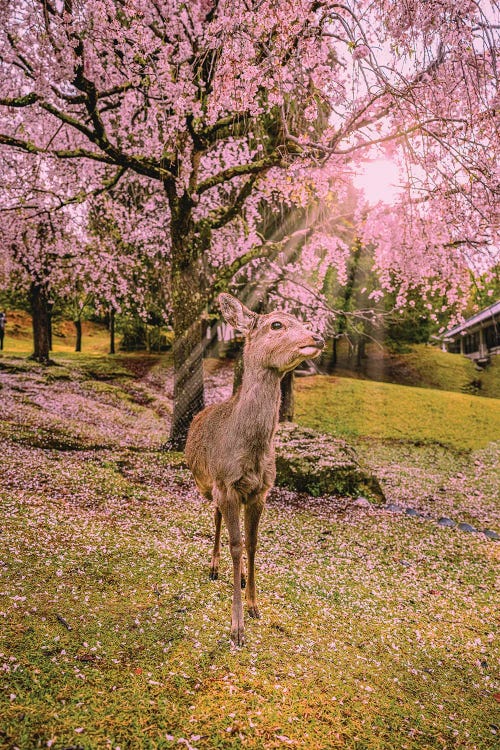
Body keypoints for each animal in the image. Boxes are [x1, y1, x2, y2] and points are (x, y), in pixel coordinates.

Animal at [185, 294, 324, 648]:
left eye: (304, 320)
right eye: (276, 324)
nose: (317, 337)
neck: (250, 450)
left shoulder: (261, 491)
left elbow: (252, 543)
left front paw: (254, 605)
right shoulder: (227, 485)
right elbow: (236, 546)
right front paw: (236, 628)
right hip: (206, 484)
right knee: (215, 515)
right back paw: (213, 566)